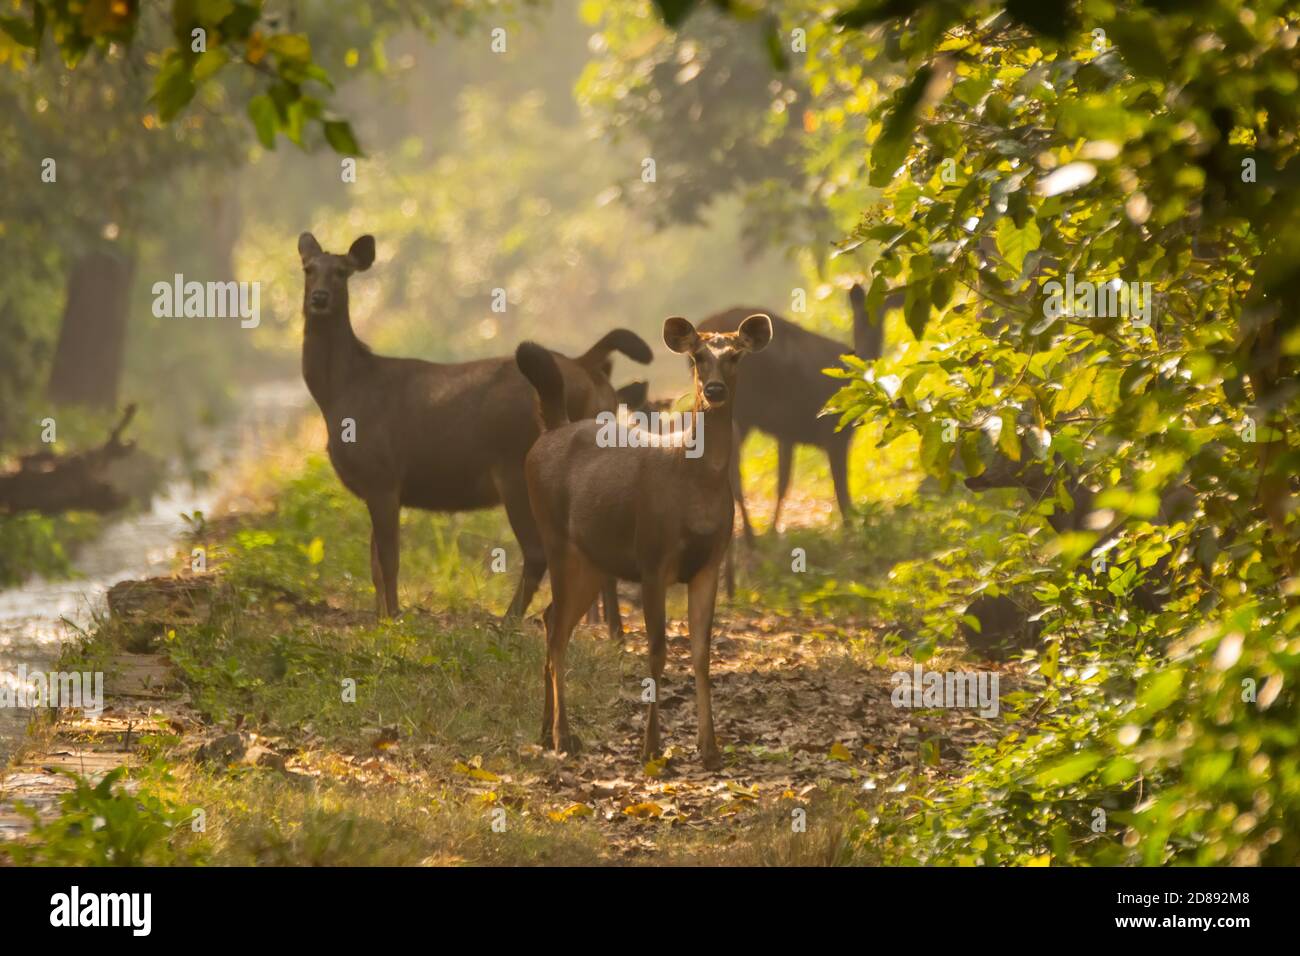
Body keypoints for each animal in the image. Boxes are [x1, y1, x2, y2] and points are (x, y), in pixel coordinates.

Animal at [297, 232, 652, 621]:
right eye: (308, 268)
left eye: (342, 272)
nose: (319, 298)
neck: (340, 393)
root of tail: (587, 368)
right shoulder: (379, 485)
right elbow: (374, 563)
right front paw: (381, 618)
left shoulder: (383, 476)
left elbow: (389, 560)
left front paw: (394, 617)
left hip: (514, 468)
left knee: (538, 553)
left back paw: (511, 620)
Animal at [516, 313, 773, 769]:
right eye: (698, 355)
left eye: (736, 355)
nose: (714, 390)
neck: (696, 483)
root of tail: (551, 431)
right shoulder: (653, 558)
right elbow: (656, 649)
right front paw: (651, 747)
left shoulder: (708, 564)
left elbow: (701, 653)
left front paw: (710, 748)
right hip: (556, 538)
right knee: (559, 631)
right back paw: (564, 735)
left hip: (593, 559)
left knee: (550, 618)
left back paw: (547, 730)